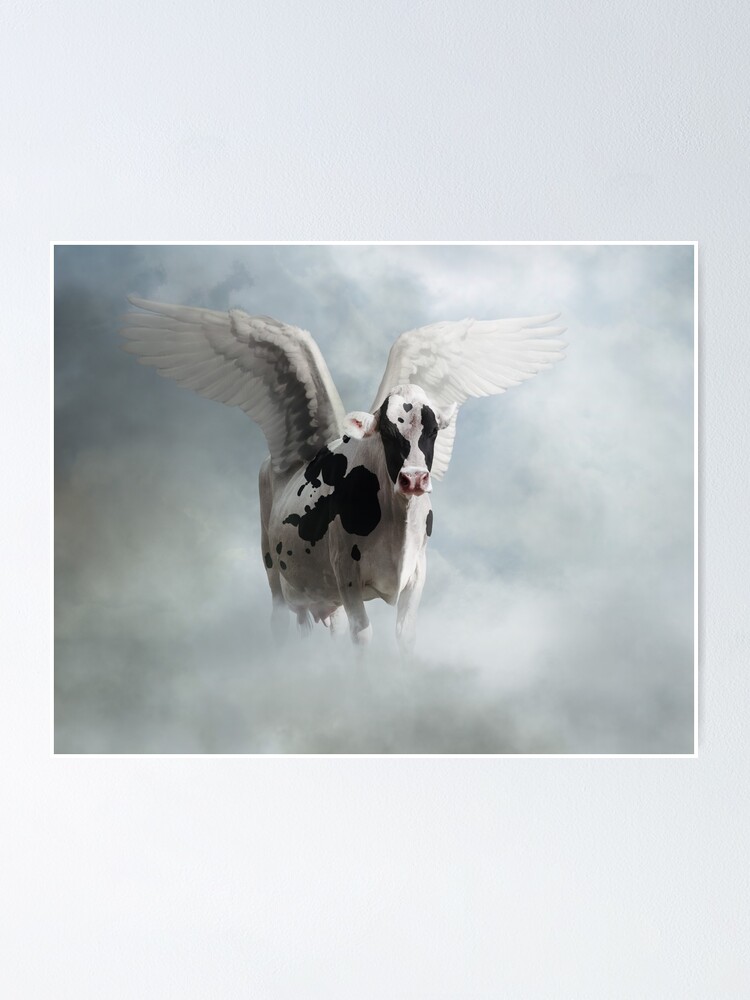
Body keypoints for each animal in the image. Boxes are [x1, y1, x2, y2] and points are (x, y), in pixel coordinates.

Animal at [122, 297, 565, 654]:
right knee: (280, 620)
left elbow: (404, 636)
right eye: (386, 431)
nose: (414, 479)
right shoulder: (347, 573)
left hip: (318, 589)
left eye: (433, 430)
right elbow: (363, 636)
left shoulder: (417, 573)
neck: (396, 524)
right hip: (273, 567)